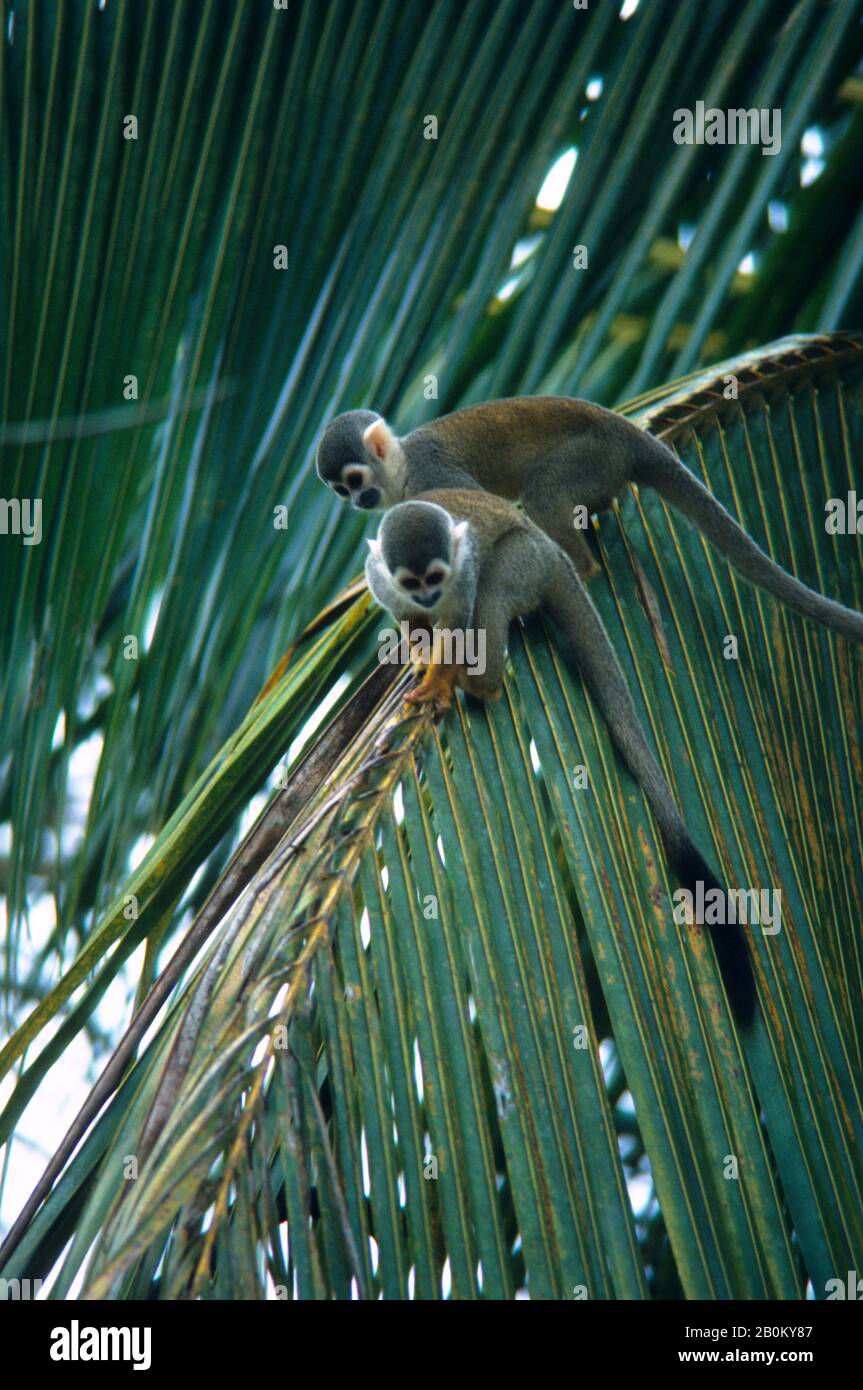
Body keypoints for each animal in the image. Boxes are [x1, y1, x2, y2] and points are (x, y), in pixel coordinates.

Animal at [319, 397, 863, 642]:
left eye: (355, 479)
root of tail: (625, 431)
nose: (356, 499)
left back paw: (580, 568)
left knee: (544, 492)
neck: (402, 468)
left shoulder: (432, 473)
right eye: (340, 489)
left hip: (594, 455)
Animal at [365, 488, 757, 1027]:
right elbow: (412, 623)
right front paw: (421, 657)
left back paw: (481, 684)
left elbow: (460, 619)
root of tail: (552, 550)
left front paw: (440, 681)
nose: (426, 595)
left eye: (436, 577)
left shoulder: (460, 577)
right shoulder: (380, 579)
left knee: (493, 584)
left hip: (527, 561)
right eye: (411, 582)